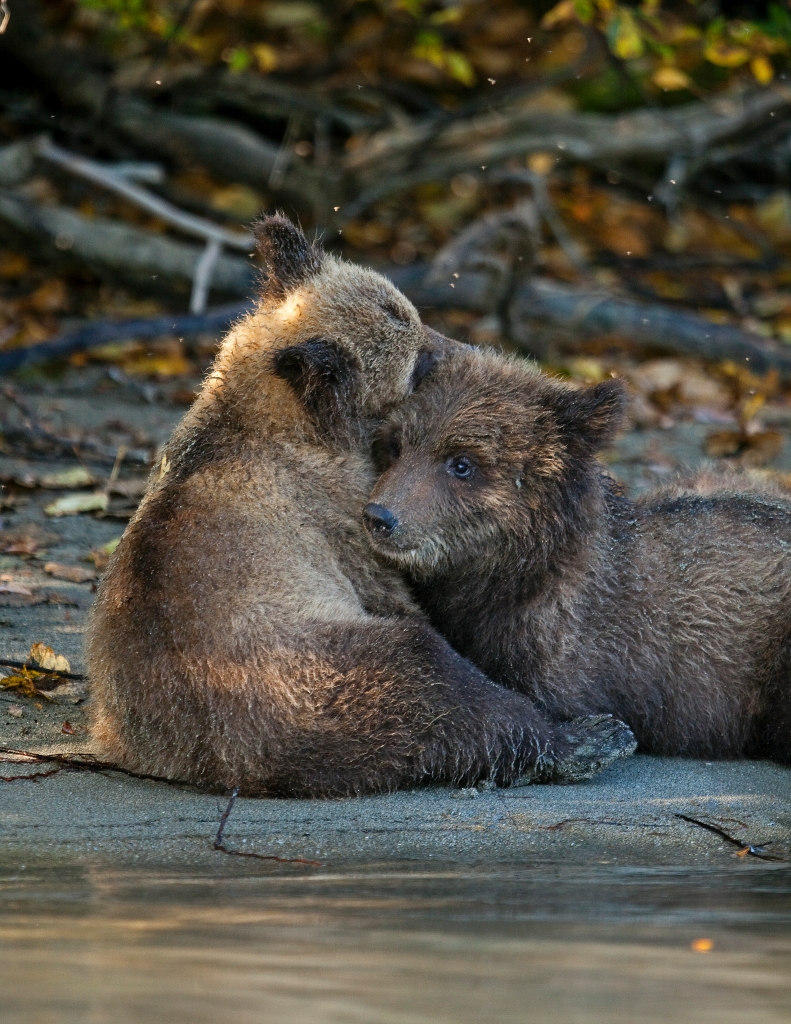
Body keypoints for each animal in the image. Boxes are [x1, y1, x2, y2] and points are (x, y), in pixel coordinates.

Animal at [86, 216, 635, 797]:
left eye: (413, 317)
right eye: (418, 358)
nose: (464, 348)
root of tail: (219, 763)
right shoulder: (338, 514)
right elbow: (395, 587)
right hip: (310, 675)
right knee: (432, 682)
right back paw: (587, 738)